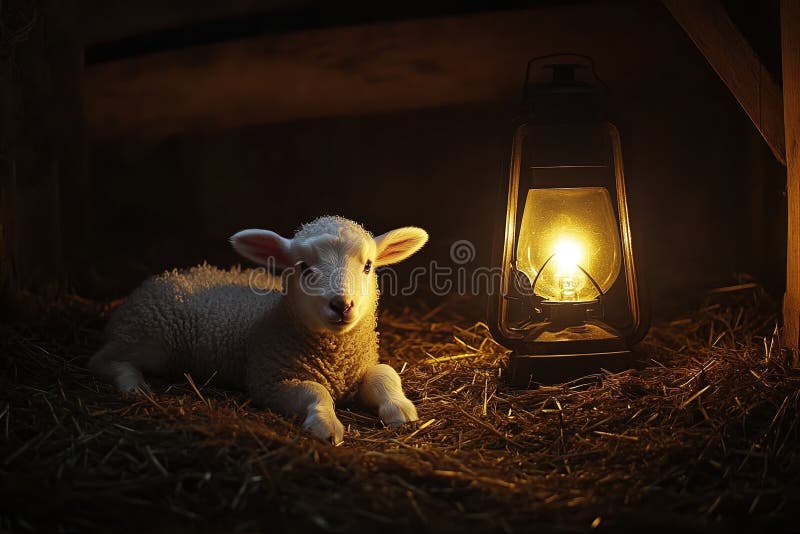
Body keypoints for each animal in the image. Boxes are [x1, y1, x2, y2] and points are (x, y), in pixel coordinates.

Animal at [88, 215, 429, 444]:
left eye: (368, 266)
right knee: (103, 359)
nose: (342, 304)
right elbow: (314, 391)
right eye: (304, 267)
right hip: (148, 336)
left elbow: (385, 373)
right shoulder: (271, 382)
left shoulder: (361, 368)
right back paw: (134, 385)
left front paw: (400, 409)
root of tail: (164, 276)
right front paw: (326, 424)